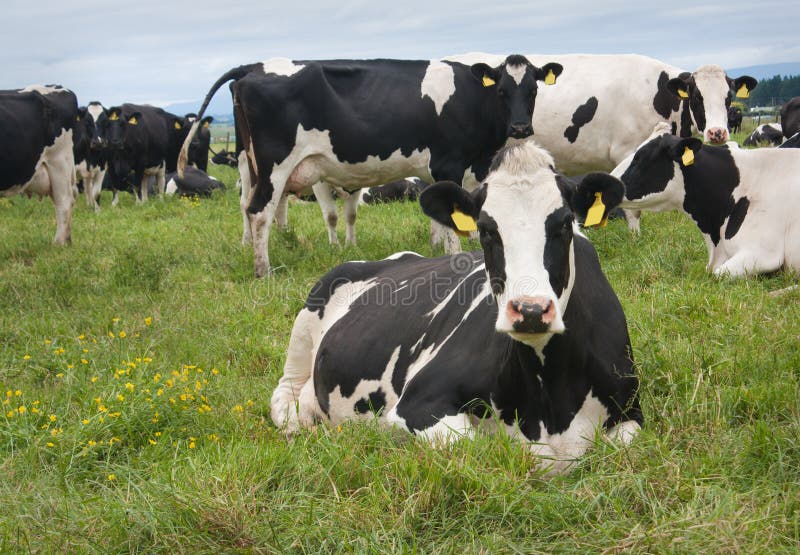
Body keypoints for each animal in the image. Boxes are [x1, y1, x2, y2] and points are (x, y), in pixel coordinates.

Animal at [179, 55, 564, 277]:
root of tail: (253, 67)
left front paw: (436, 249)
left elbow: (437, 216)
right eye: (501, 90)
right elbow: (452, 225)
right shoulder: (450, 164)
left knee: (250, 207)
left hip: (253, 164)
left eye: (533, 90)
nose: (520, 127)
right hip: (275, 162)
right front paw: (455, 257)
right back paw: (264, 270)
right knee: (259, 211)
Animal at [270, 141, 642, 475]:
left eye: (565, 223)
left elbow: (624, 444)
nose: (531, 310)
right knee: (284, 394)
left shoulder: (631, 413)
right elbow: (477, 447)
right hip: (304, 327)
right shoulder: (416, 404)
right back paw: (298, 423)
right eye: (486, 229)